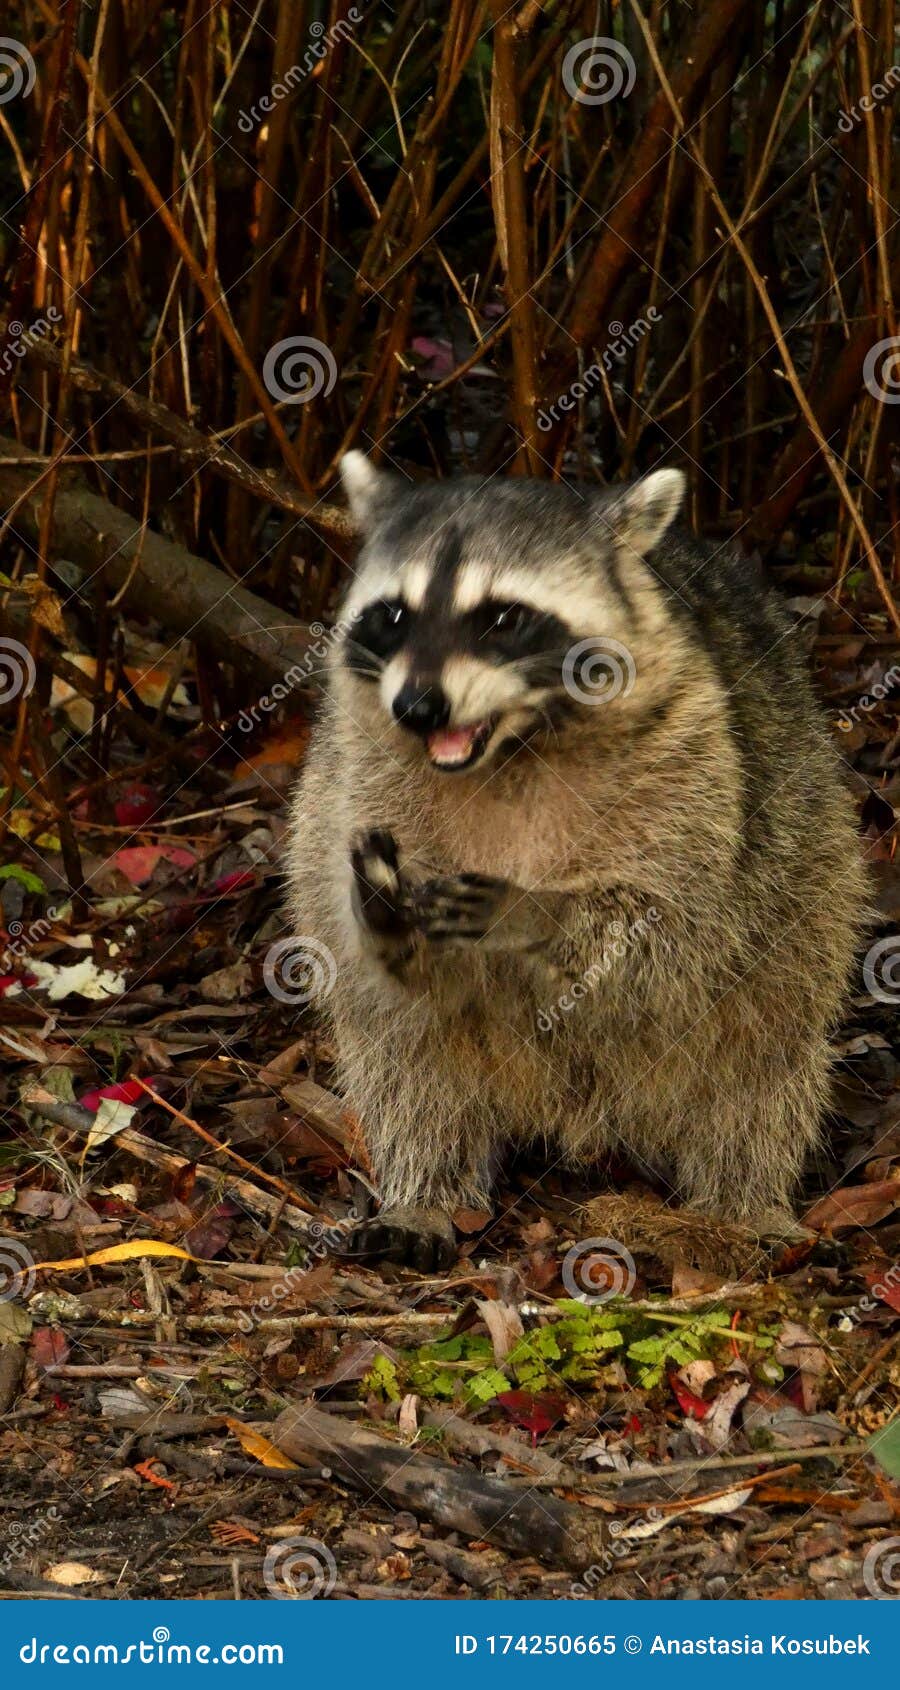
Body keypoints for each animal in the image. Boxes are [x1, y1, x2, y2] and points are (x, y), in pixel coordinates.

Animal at [286, 452, 866, 1269]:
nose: (420, 707)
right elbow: (372, 950)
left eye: (502, 618)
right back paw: (426, 1191)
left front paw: (539, 913)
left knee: (759, 1061)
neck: (509, 746)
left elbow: (676, 928)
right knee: (408, 1063)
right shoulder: (354, 766)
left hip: (806, 879)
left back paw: (741, 1205)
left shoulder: (694, 755)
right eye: (393, 615)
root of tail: (582, 1115)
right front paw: (387, 918)